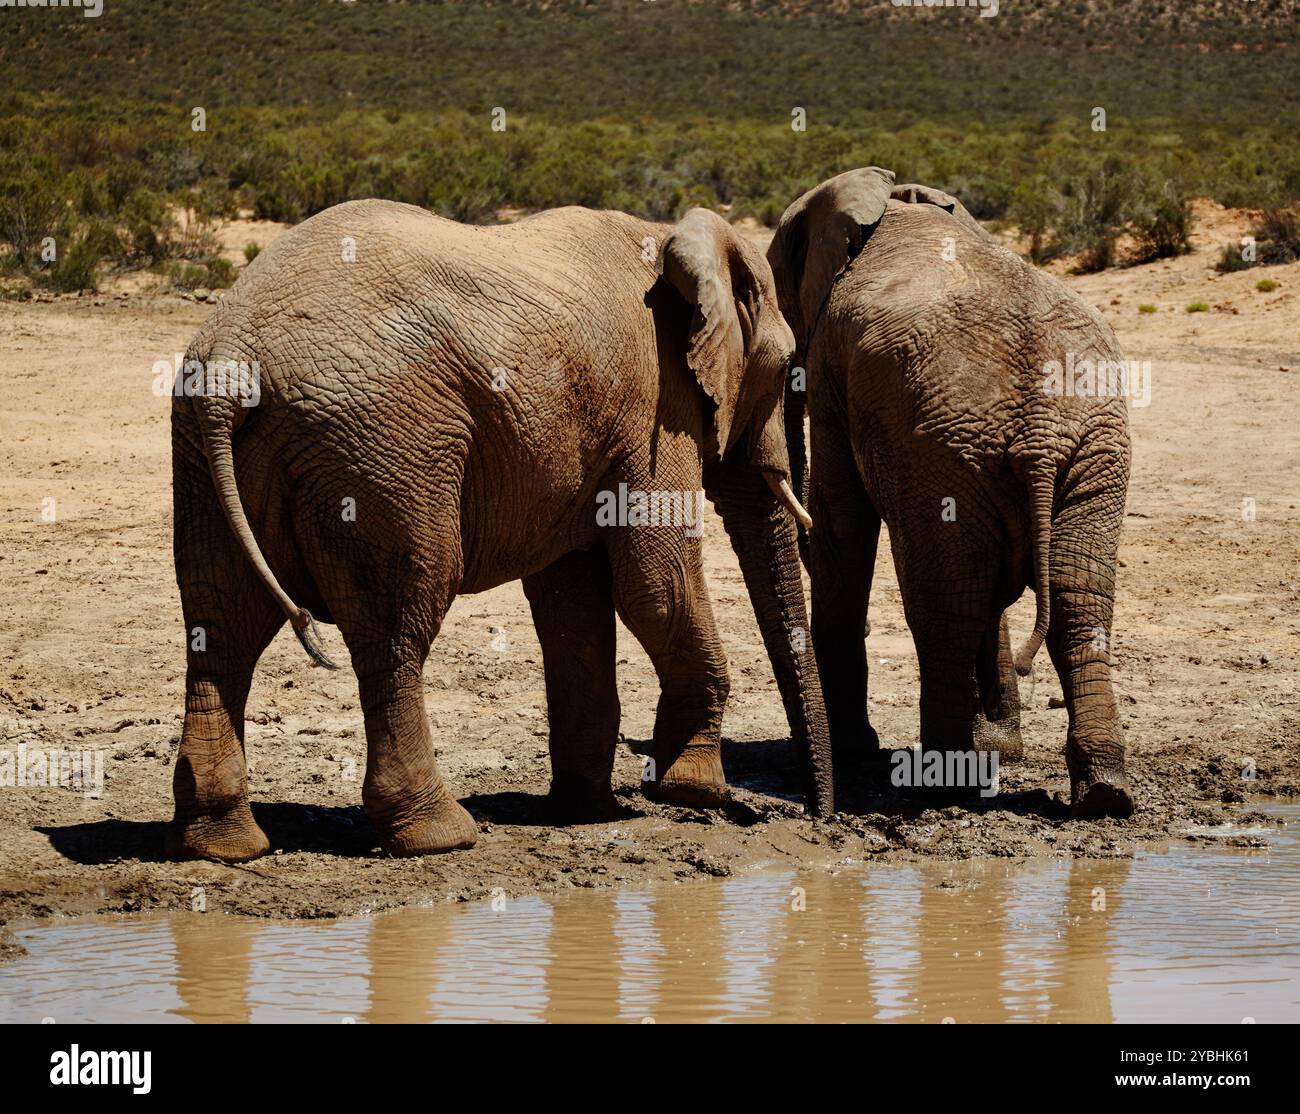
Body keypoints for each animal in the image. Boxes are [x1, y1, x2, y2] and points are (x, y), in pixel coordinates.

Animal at [167, 199, 833, 863]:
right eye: (784, 371)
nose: (818, 816)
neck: (672, 239)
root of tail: (231, 361)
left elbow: (571, 604)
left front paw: (588, 810)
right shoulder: (657, 408)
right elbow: (654, 585)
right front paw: (696, 793)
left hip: (205, 454)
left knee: (221, 624)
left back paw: (223, 844)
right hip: (382, 452)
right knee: (396, 624)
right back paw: (440, 836)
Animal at [768, 167, 1133, 819]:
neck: (894, 201)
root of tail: (1040, 430)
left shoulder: (834, 362)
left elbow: (842, 528)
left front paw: (856, 752)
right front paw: (1002, 751)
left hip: (947, 450)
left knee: (945, 607)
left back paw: (941, 786)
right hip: (1080, 449)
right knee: (1076, 599)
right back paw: (1103, 794)